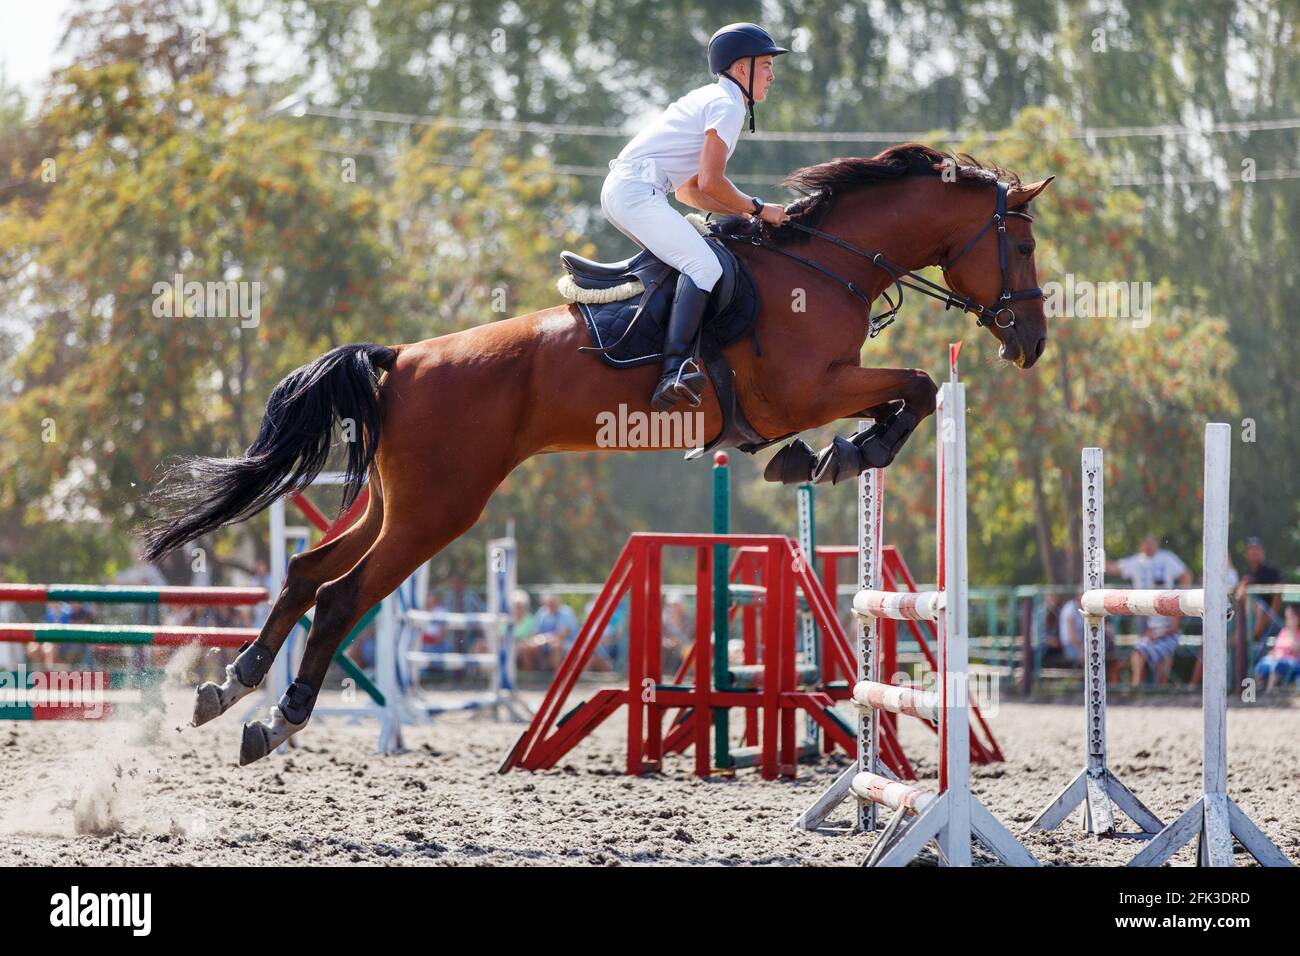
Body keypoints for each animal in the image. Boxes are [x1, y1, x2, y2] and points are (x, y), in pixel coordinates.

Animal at [140, 143, 1052, 763]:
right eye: (1024, 246)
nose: (1033, 342)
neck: (829, 265)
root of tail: (401, 358)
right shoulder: (808, 389)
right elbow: (921, 385)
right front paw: (847, 453)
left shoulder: (821, 390)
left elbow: (910, 390)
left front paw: (825, 458)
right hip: (440, 510)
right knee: (340, 596)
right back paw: (279, 717)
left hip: (396, 504)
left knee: (305, 572)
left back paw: (233, 684)